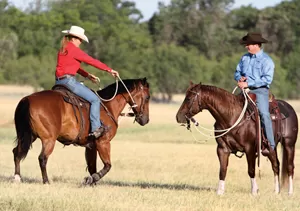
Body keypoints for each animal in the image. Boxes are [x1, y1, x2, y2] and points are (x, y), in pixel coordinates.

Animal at [13, 77, 151, 185]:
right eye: (147, 97)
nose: (146, 120)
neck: (107, 106)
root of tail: (27, 100)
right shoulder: (103, 142)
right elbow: (107, 165)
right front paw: (91, 180)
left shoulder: (91, 146)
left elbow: (92, 166)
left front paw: (92, 182)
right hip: (49, 140)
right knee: (42, 158)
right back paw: (46, 181)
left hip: (28, 136)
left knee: (17, 153)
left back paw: (17, 178)